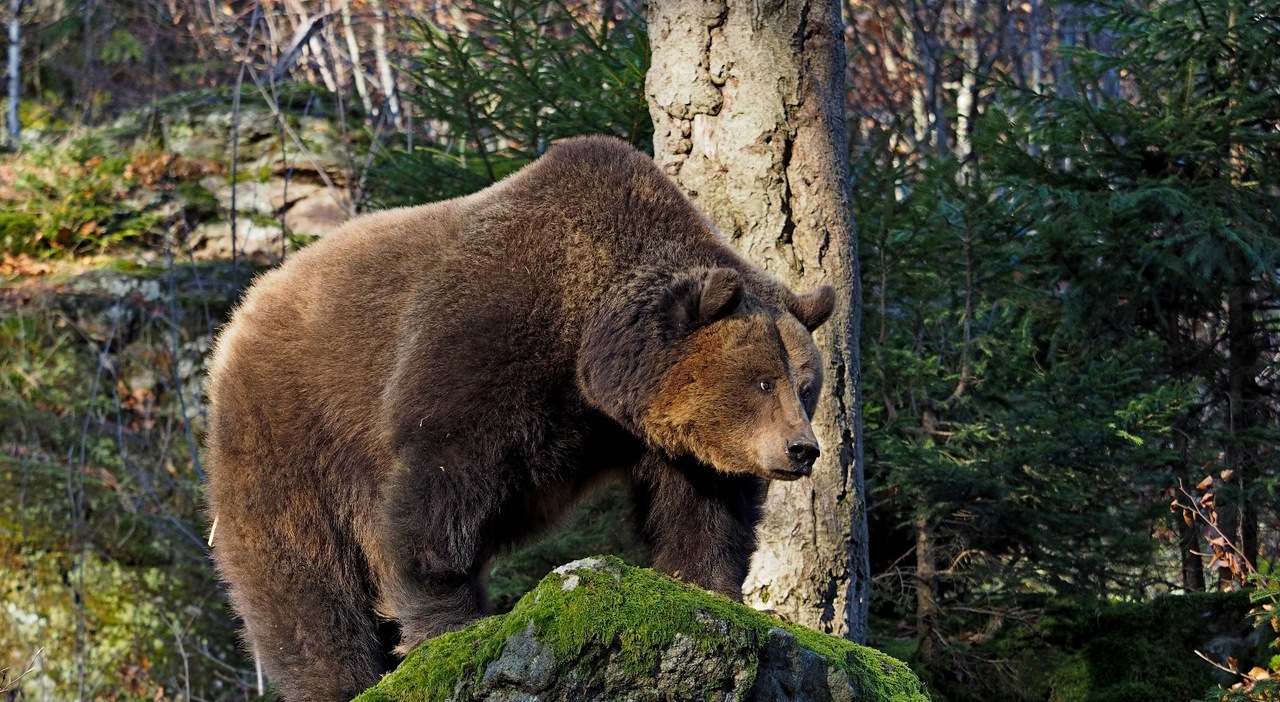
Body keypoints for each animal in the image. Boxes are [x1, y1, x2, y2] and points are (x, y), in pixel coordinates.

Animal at [203, 135, 835, 702]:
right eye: (762, 381)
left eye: (807, 387)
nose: (802, 450)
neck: (589, 354)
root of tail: (243, 312)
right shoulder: (488, 345)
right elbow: (438, 490)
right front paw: (447, 626)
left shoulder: (660, 433)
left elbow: (703, 507)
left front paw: (708, 586)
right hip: (292, 430)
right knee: (302, 576)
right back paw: (341, 677)